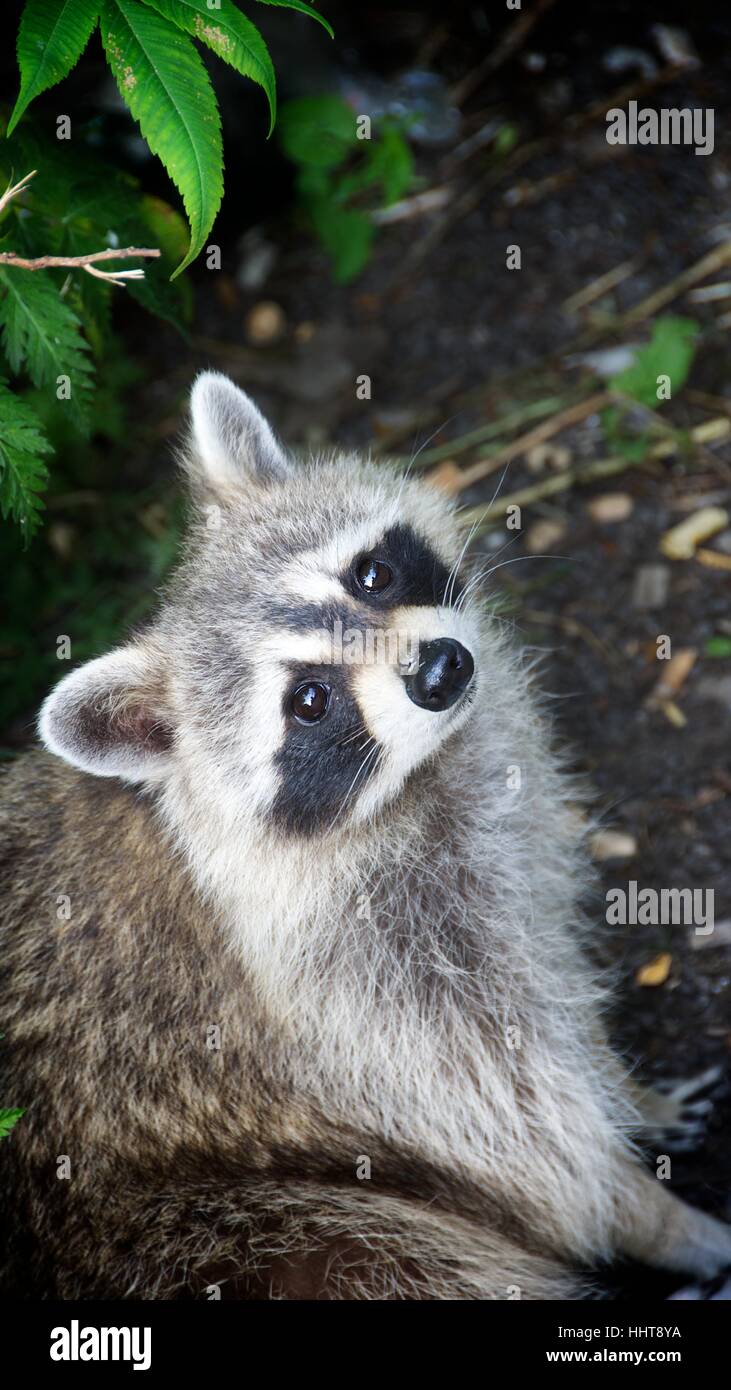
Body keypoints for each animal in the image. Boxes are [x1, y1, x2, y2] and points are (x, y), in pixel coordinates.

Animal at [1, 372, 730, 1300]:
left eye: (372, 574)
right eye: (309, 700)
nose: (442, 670)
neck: (418, 783)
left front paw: (633, 1096)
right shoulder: (359, 995)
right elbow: (532, 1142)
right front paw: (664, 1219)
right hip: (237, 1230)